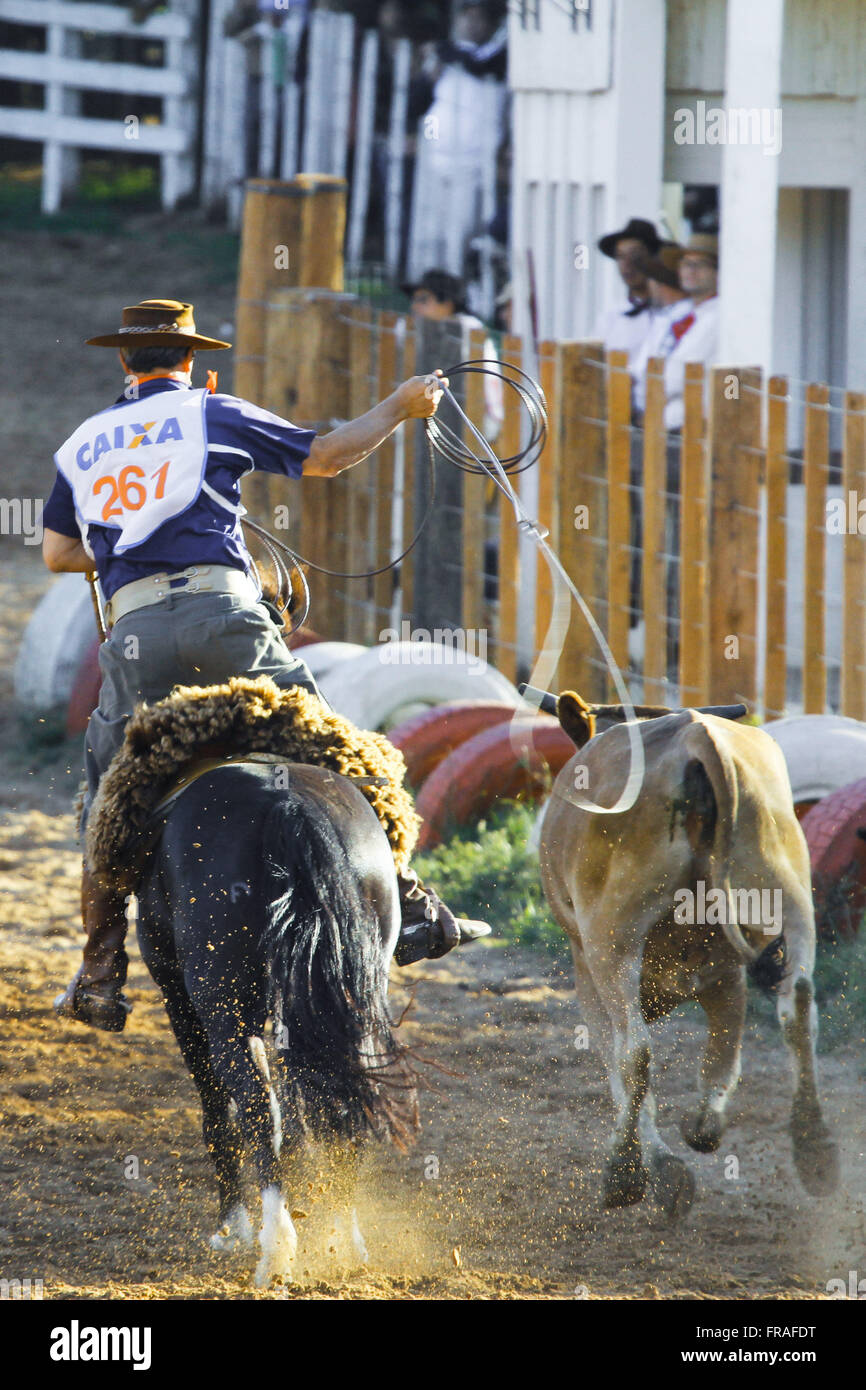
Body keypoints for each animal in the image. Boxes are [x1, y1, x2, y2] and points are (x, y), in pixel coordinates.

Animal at [134, 758, 418, 1287]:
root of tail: (288, 805)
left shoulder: (176, 993)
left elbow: (219, 1111)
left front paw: (230, 1230)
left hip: (225, 1012)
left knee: (257, 1108)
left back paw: (275, 1249)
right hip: (347, 1005)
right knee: (336, 1106)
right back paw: (342, 1241)